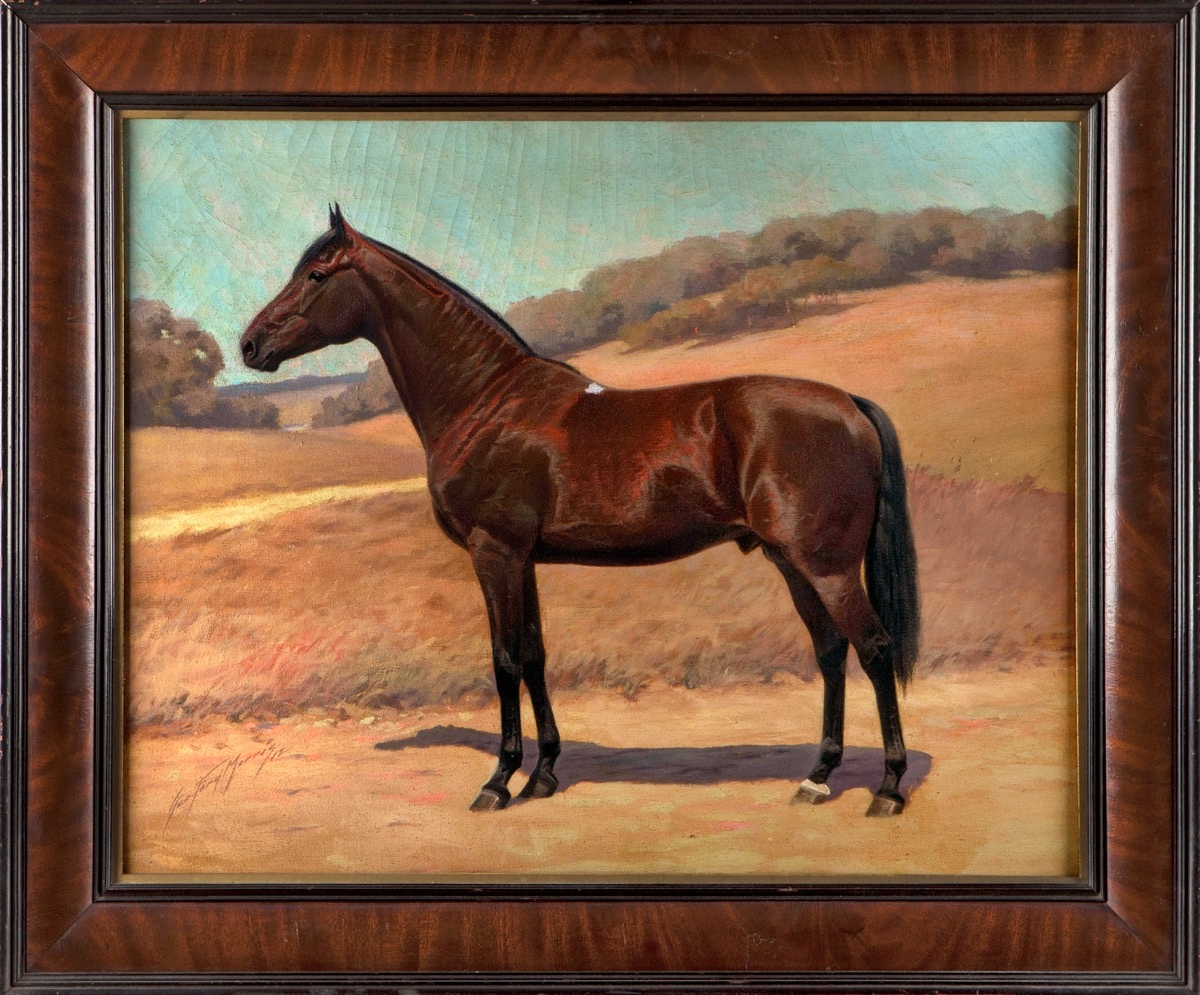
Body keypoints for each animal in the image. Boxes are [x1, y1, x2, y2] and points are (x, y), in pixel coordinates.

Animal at [241, 205, 921, 817]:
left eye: (317, 275)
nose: (251, 343)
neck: (487, 400)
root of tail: (849, 404)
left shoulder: (494, 552)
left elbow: (504, 660)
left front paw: (499, 782)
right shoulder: (523, 559)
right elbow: (535, 656)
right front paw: (543, 775)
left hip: (827, 566)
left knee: (874, 649)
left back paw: (887, 788)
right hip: (790, 560)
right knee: (830, 652)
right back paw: (817, 778)